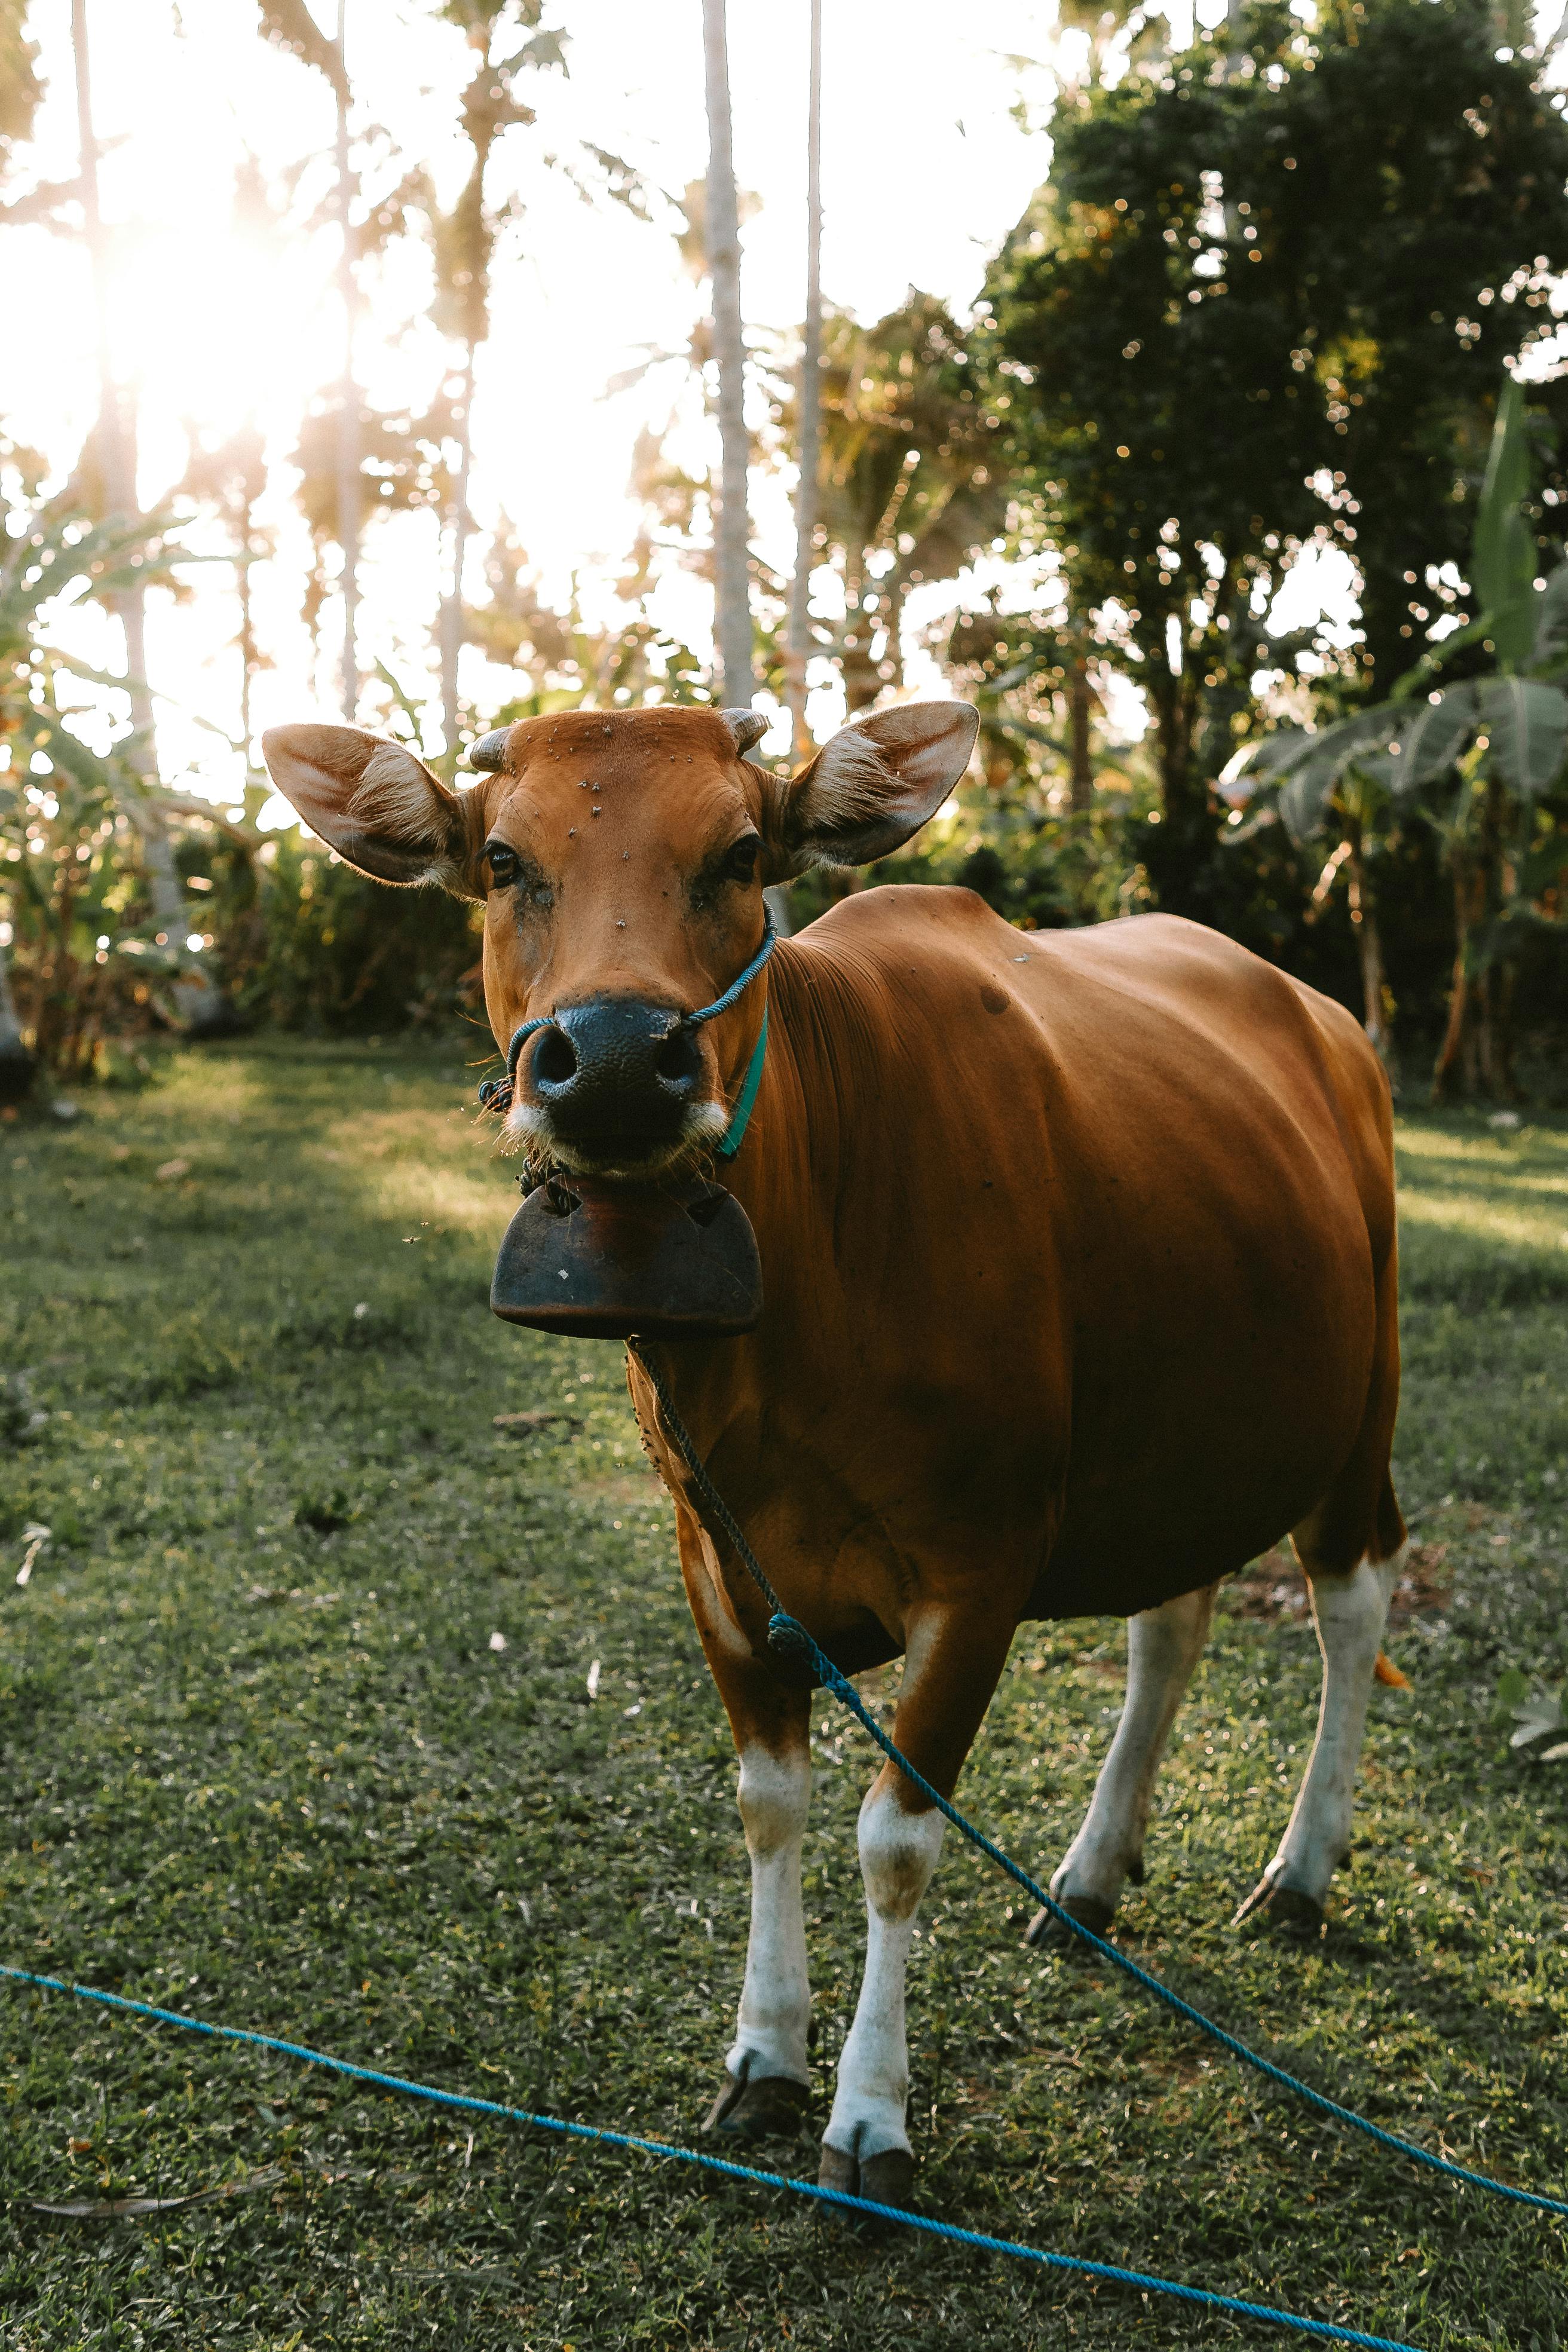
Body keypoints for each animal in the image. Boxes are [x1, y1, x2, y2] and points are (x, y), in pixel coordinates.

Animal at [261, 699, 1408, 2213]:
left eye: (742, 852)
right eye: (501, 861)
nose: (614, 1058)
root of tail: (1327, 1020)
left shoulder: (982, 1568)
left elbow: (895, 1838)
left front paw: (869, 2110)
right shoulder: (715, 1565)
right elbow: (768, 1805)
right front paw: (762, 2055)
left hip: (1357, 1405)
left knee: (1350, 1601)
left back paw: (1300, 1867)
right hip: (1185, 1423)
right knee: (1172, 1620)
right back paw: (1089, 1878)